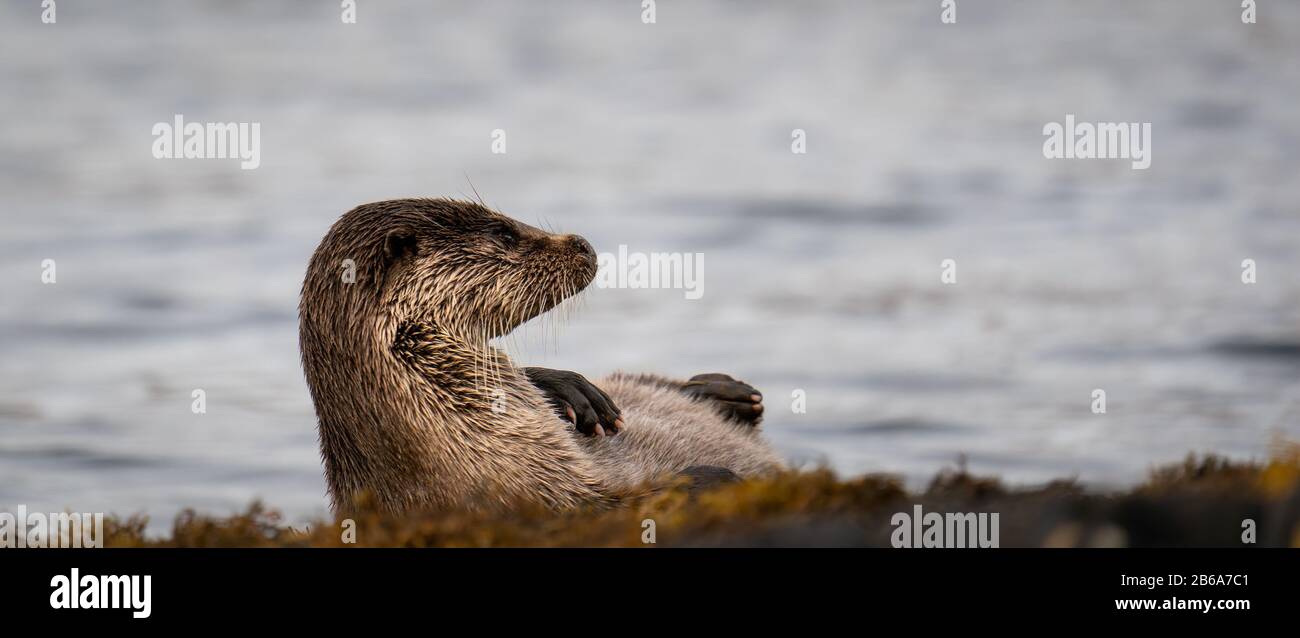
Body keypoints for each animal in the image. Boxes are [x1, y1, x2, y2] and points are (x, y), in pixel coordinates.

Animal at [299, 198, 783, 515]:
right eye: (502, 232)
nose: (581, 242)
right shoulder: (530, 492)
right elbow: (614, 505)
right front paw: (714, 479)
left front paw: (572, 390)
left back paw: (722, 393)